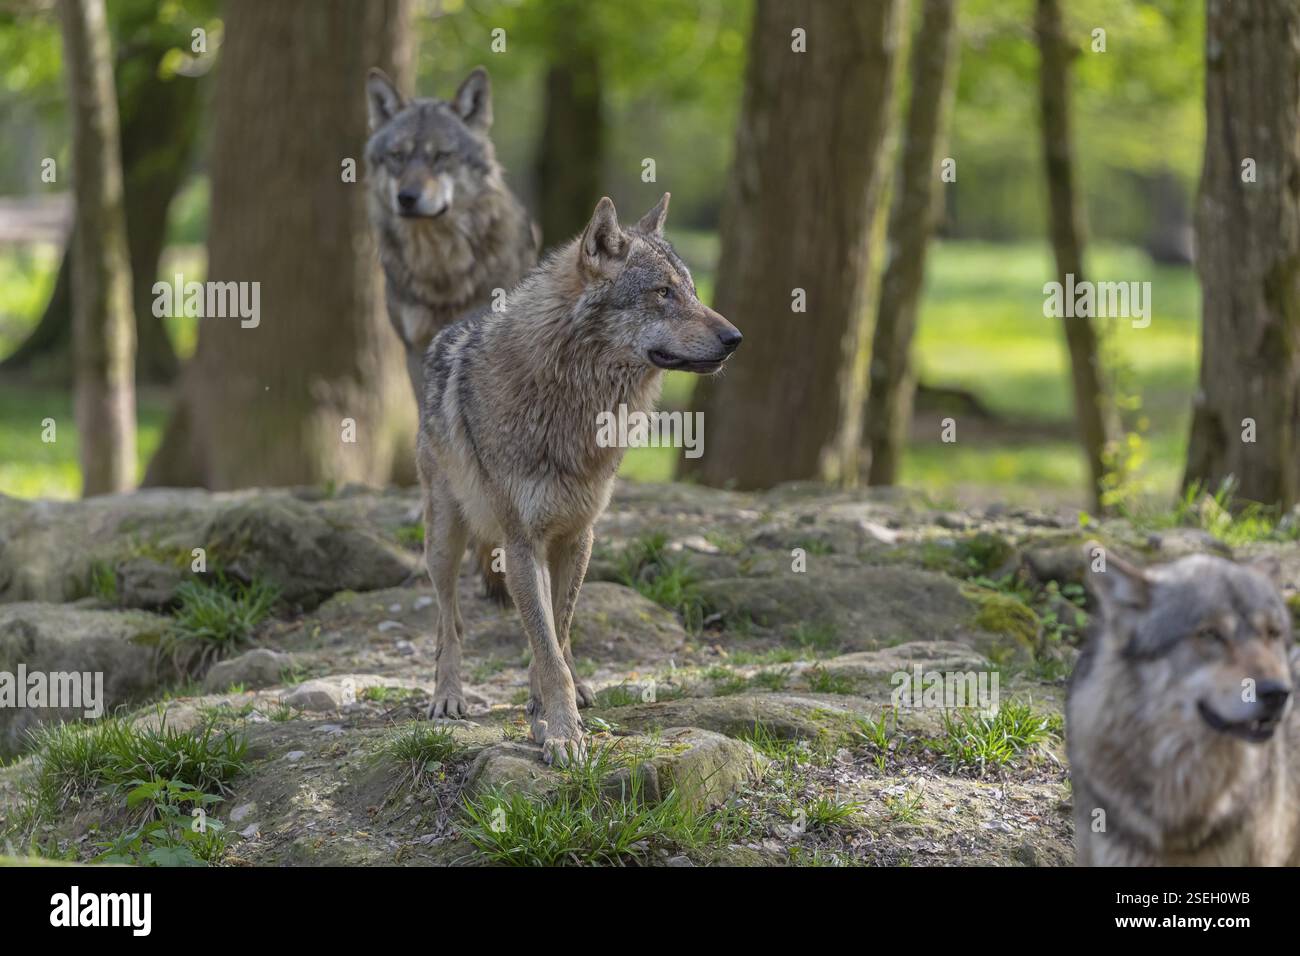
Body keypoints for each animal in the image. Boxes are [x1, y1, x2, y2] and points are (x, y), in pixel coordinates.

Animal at [365, 65, 537, 600]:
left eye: (441, 155)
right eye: (398, 157)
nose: (407, 198)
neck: (441, 269)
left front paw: (494, 564)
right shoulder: (416, 352)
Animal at [416, 194, 741, 763]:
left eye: (694, 292)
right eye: (663, 293)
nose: (735, 338)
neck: (572, 406)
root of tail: (446, 332)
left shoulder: (578, 534)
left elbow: (554, 638)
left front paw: (546, 713)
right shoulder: (521, 543)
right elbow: (546, 648)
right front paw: (563, 732)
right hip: (444, 541)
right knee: (449, 622)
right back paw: (448, 696)